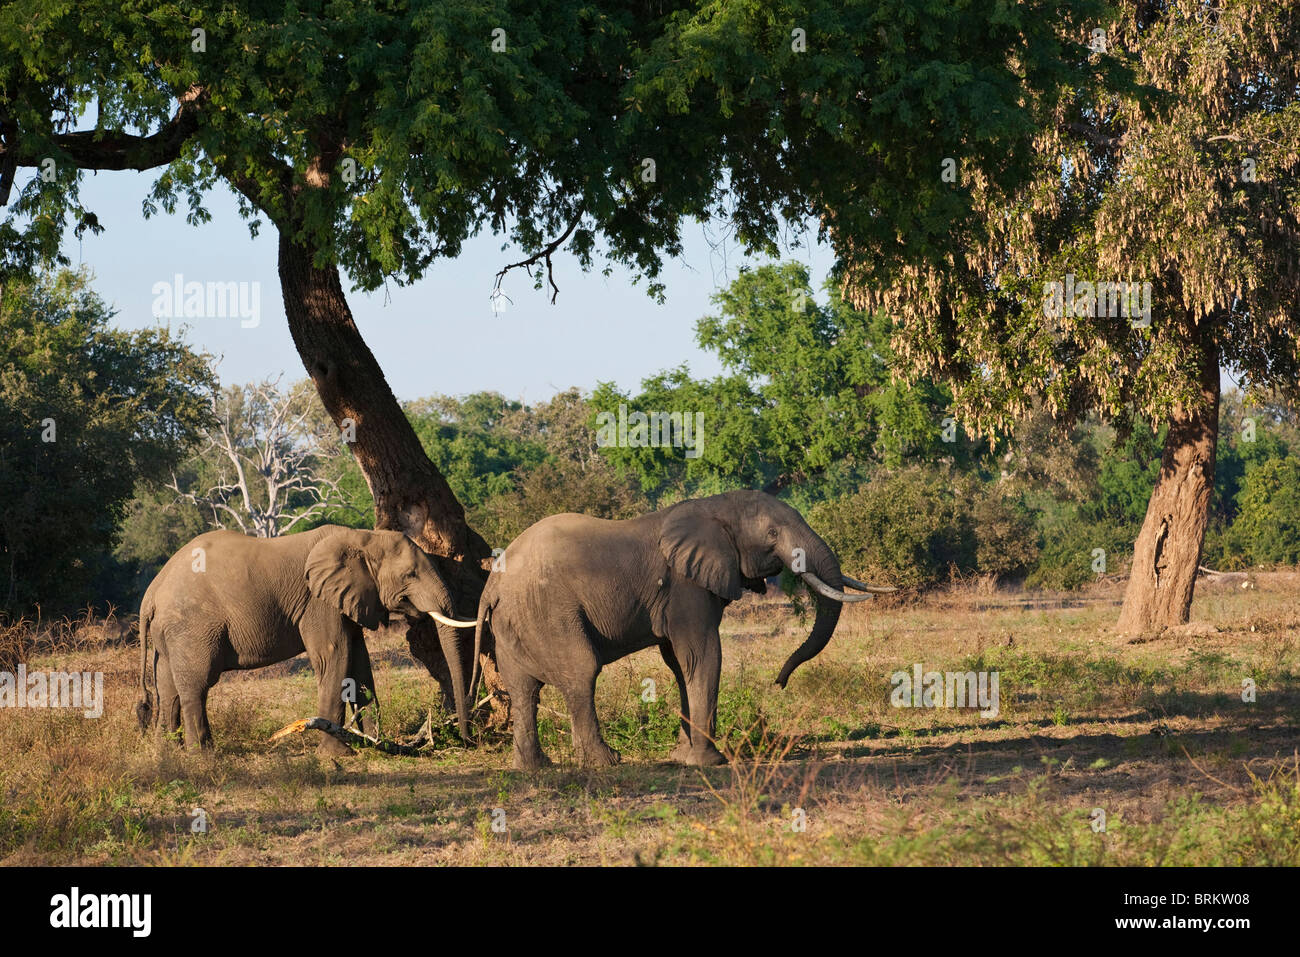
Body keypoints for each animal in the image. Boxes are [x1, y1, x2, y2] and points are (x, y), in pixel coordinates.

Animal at [136, 525, 477, 755]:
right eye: (410, 575)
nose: (468, 740)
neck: (361, 537)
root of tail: (150, 594)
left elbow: (360, 665)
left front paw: (375, 743)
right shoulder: (317, 601)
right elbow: (335, 657)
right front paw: (337, 755)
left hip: (170, 635)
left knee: (168, 687)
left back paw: (167, 755)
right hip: (191, 627)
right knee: (196, 685)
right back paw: (203, 756)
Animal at [468, 489, 894, 770]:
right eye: (773, 535)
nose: (779, 682)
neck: (714, 508)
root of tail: (492, 583)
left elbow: (678, 663)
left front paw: (681, 757)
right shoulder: (686, 586)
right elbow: (702, 655)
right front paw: (710, 762)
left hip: (515, 621)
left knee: (523, 689)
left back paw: (534, 768)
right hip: (549, 612)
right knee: (580, 673)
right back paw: (606, 762)